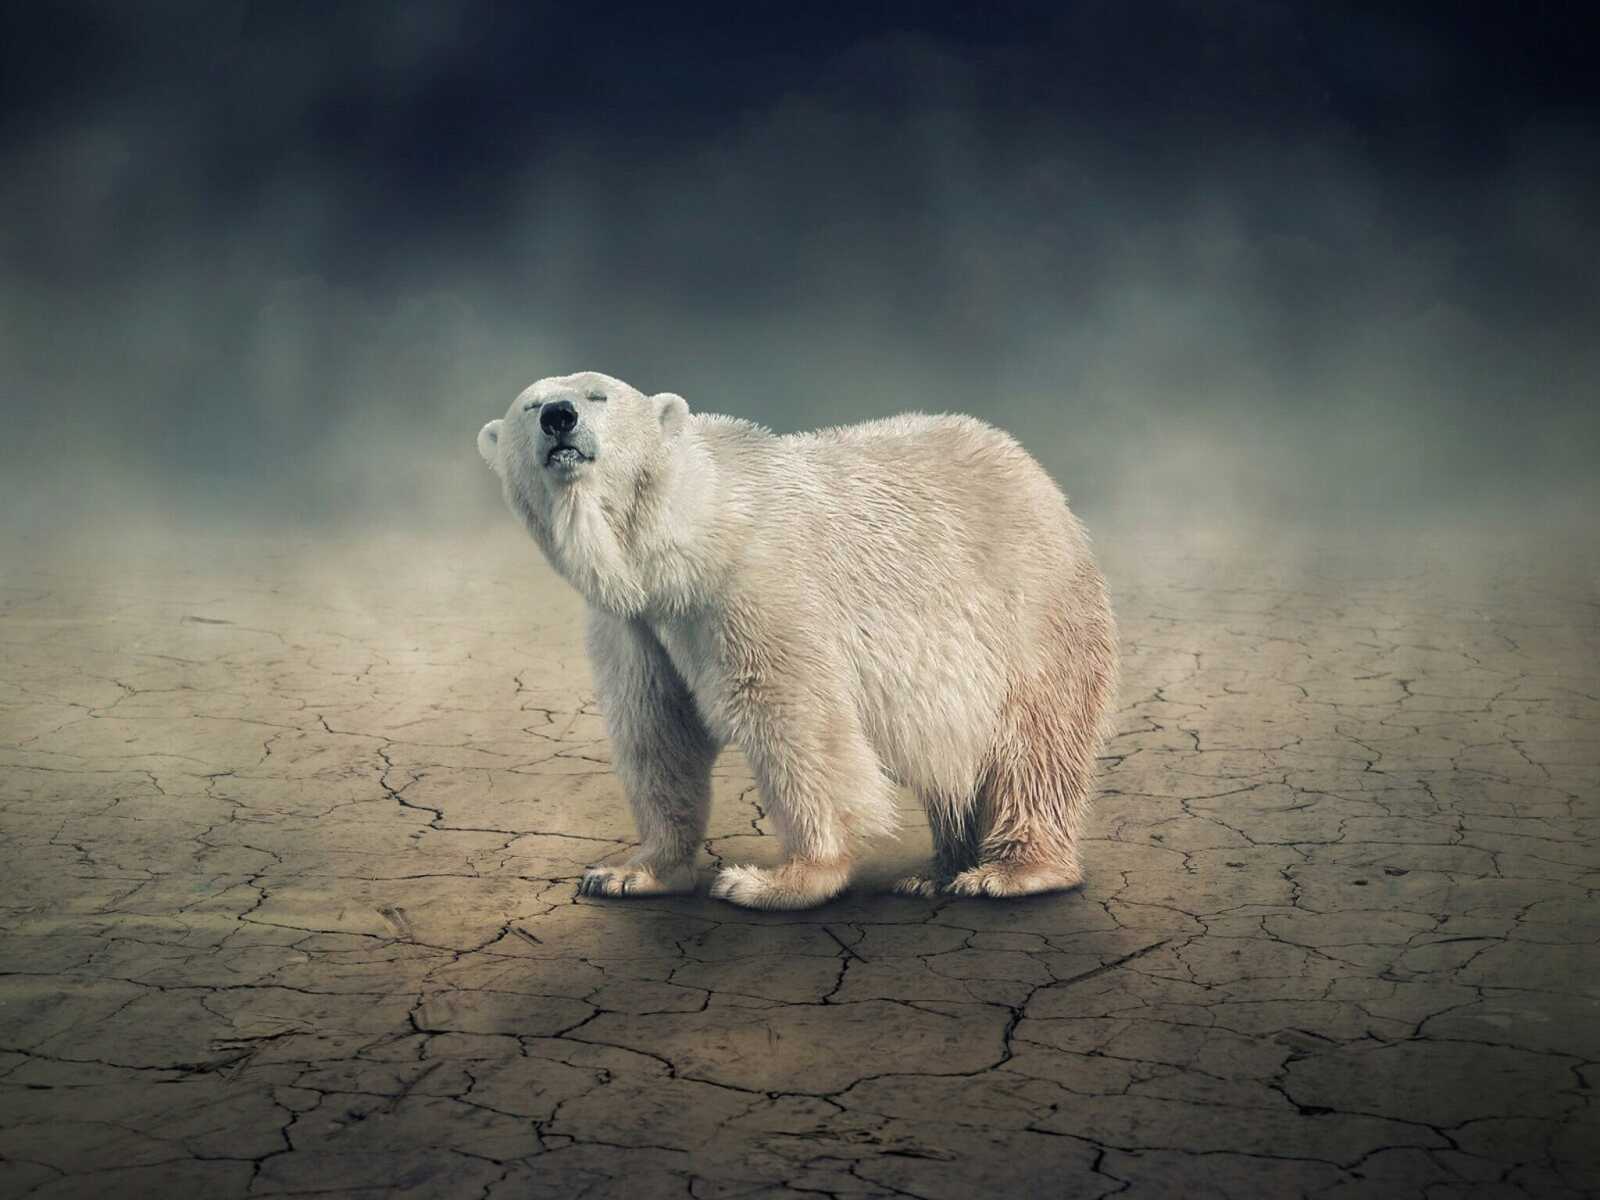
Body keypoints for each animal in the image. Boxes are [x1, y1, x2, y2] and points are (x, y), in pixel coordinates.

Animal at [477, 371, 1118, 910]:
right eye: (530, 404)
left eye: (598, 395)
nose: (558, 417)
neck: (686, 539)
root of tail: (1039, 479)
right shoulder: (635, 625)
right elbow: (658, 730)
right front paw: (631, 872)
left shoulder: (758, 586)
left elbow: (795, 720)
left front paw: (777, 880)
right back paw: (935, 872)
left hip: (1027, 614)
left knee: (1032, 743)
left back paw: (1009, 872)